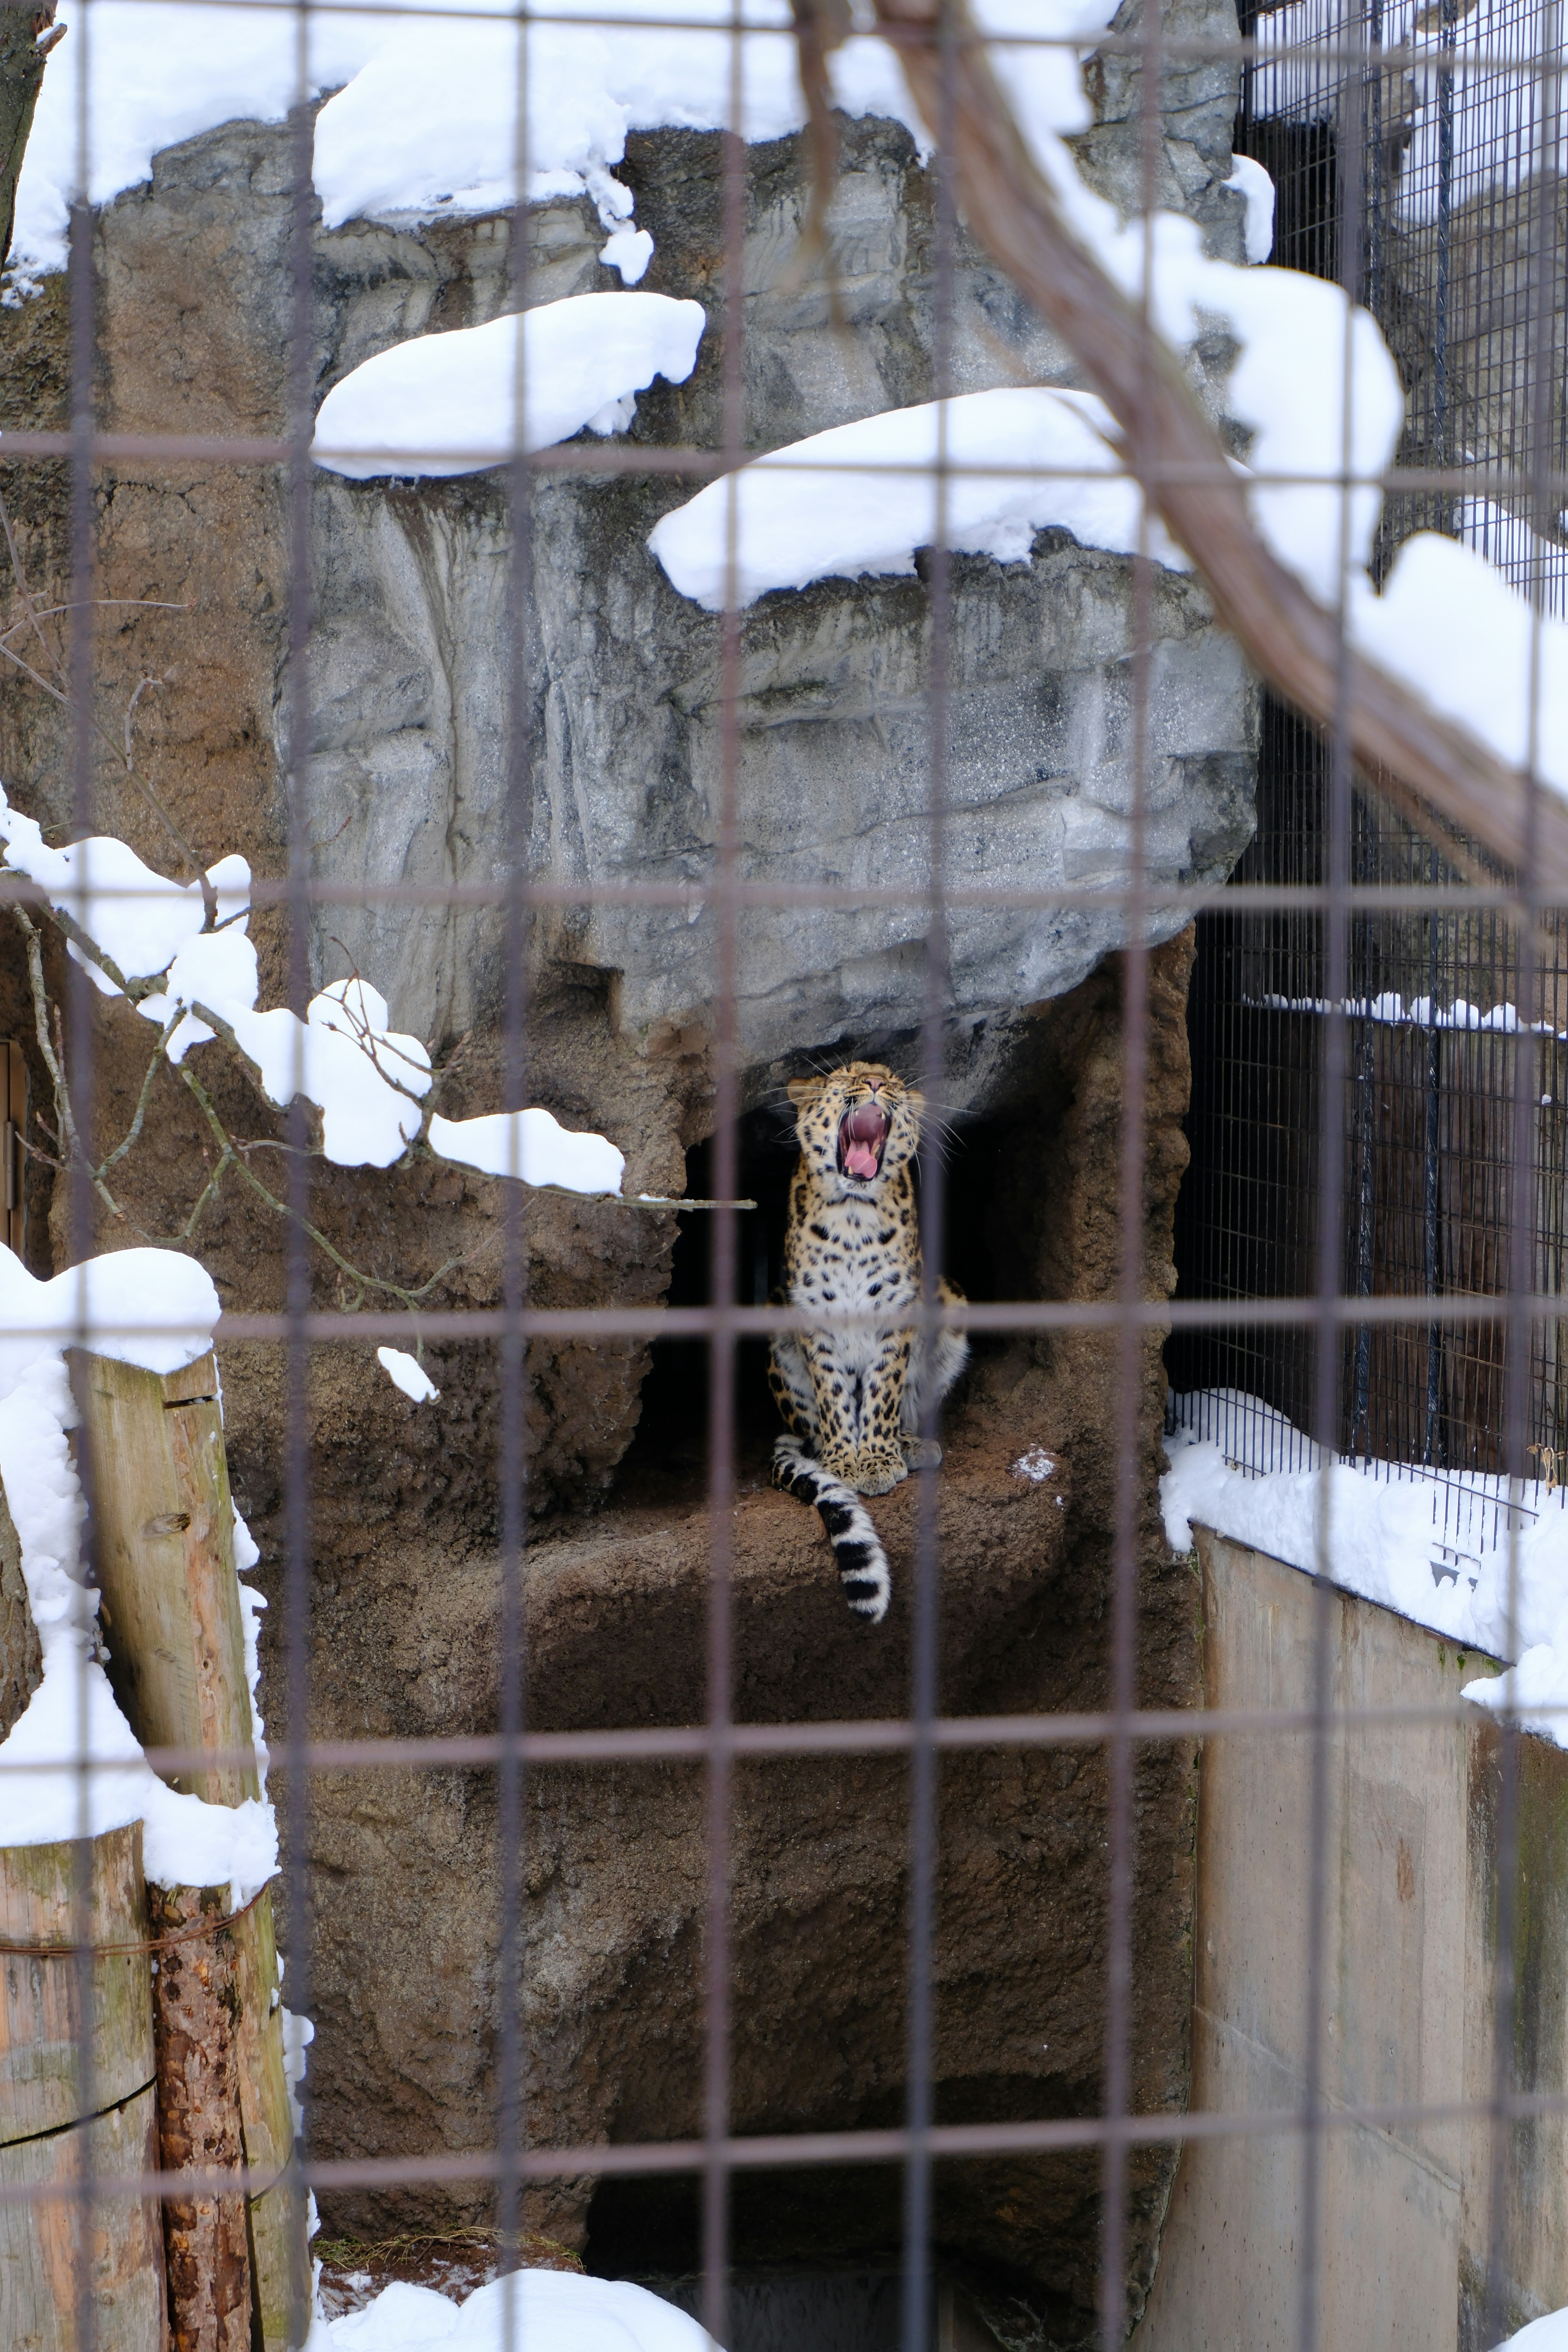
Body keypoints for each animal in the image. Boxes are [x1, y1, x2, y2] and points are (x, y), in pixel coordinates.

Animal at [768, 1061, 969, 1623]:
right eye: (846, 1077)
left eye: (894, 1081)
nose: (878, 1084)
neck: (853, 1215)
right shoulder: (815, 1316)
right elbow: (836, 1395)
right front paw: (847, 1458)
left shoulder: (897, 1312)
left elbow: (881, 1391)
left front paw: (878, 1456)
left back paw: (909, 1445)